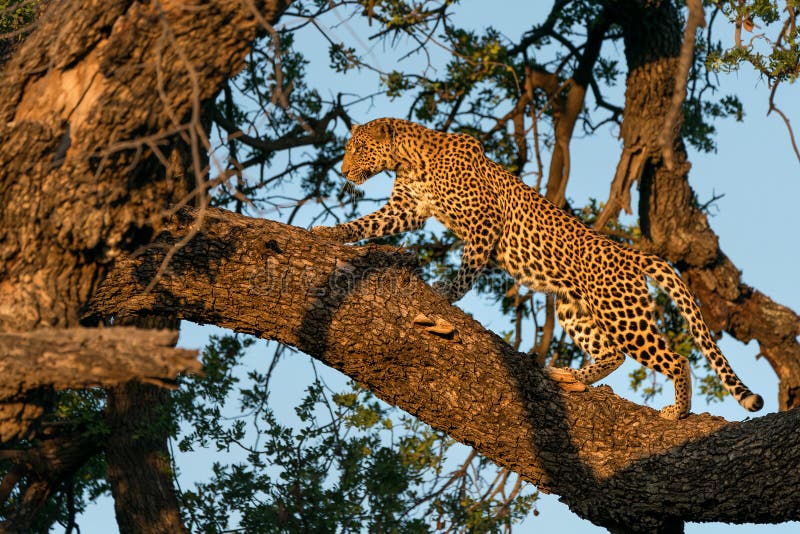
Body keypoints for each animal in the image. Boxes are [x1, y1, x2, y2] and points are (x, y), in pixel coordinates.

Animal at [311, 117, 764, 420]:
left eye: (358, 148)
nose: (344, 171)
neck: (410, 160)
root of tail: (631, 254)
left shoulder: (484, 222)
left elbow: (467, 271)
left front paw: (444, 293)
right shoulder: (405, 210)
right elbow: (364, 224)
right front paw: (328, 231)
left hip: (622, 313)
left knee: (675, 357)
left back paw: (677, 411)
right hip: (574, 308)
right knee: (613, 352)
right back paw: (573, 377)